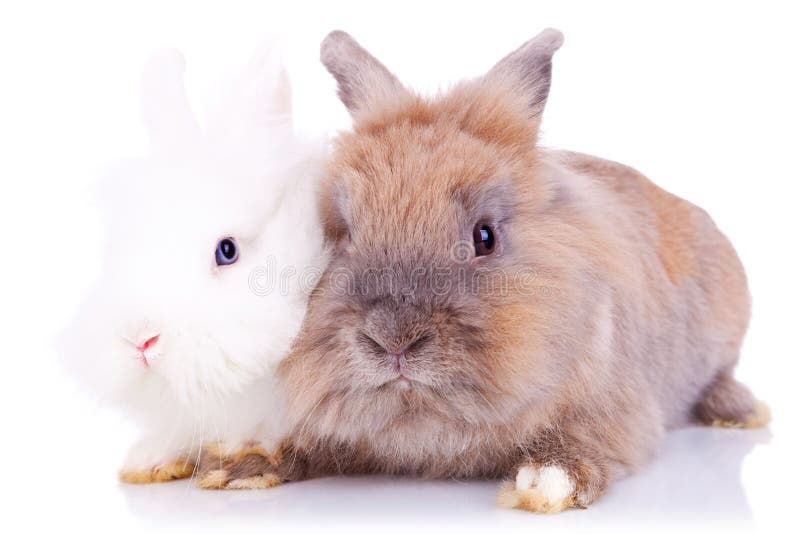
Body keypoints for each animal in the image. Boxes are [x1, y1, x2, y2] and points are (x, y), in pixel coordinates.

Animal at [215, 28, 769, 511]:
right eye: (342, 233)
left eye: (486, 237)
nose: (393, 340)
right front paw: (243, 468)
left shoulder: (621, 410)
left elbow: (588, 440)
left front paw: (547, 481)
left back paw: (742, 412)